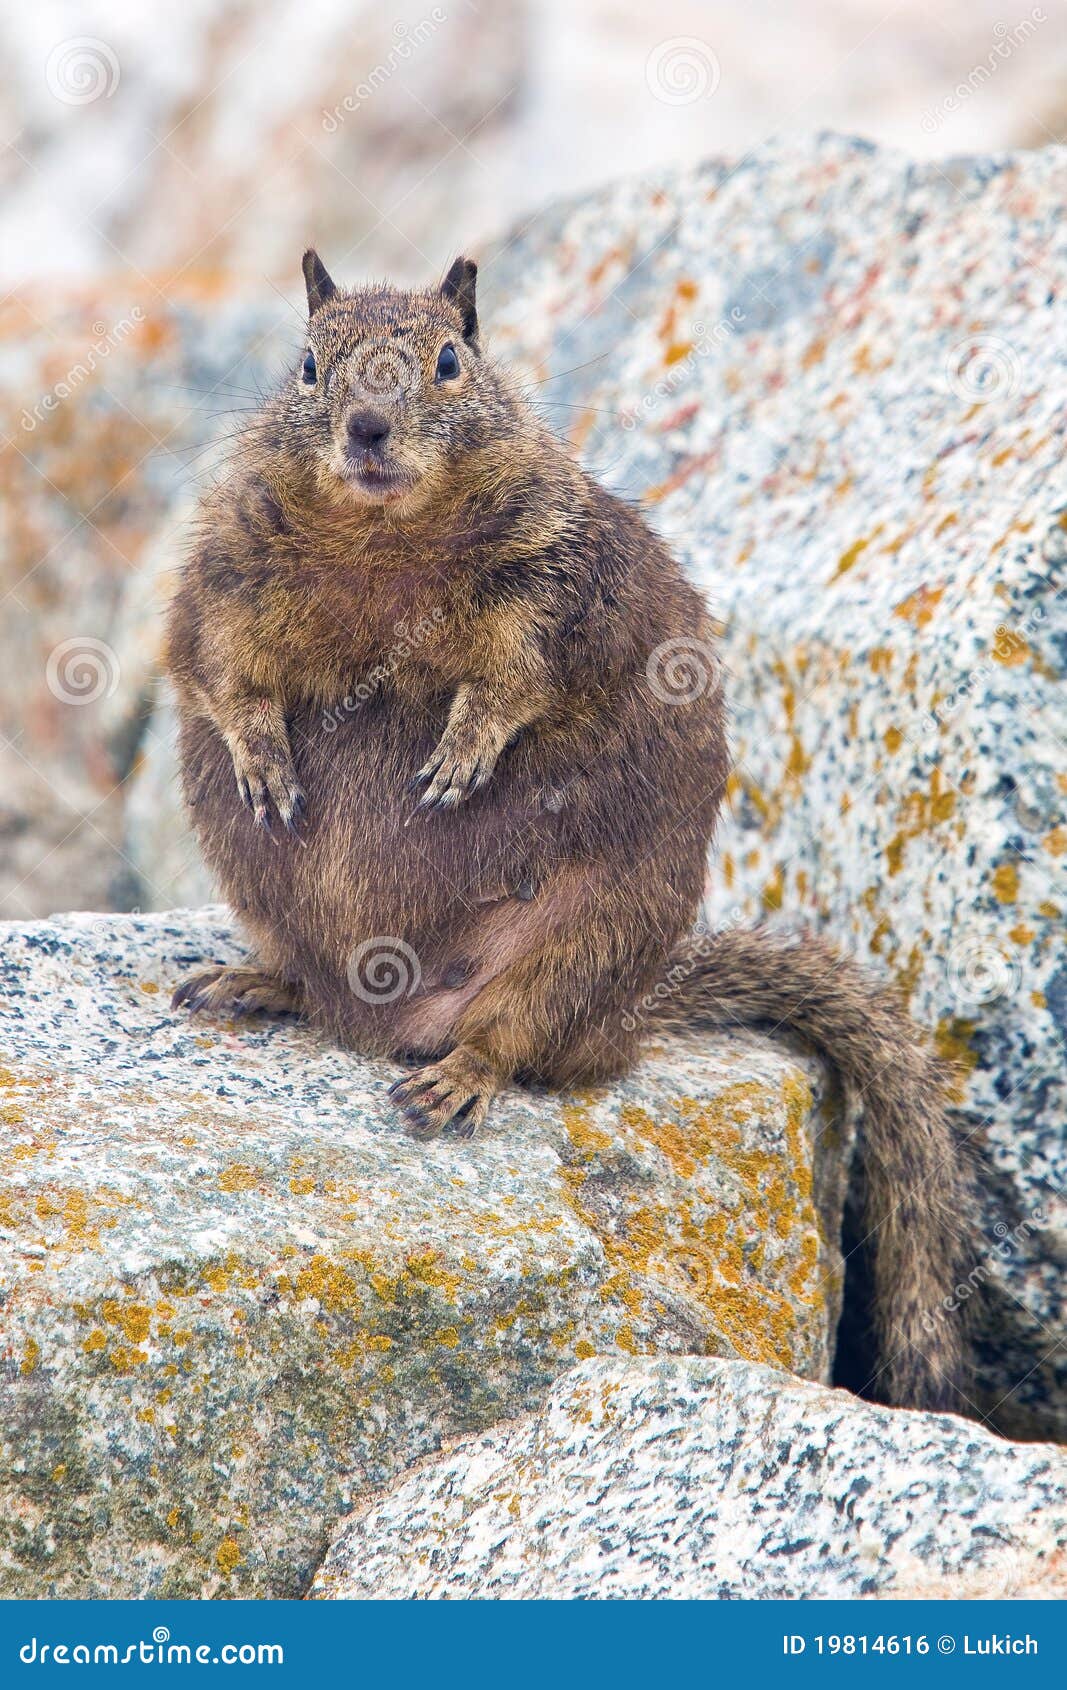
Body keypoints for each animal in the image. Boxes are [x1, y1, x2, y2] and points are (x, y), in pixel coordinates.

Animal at [165, 249, 973, 1415]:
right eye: (308, 364)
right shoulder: (228, 566)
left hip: (583, 941)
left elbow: (514, 682)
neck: (381, 539)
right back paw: (256, 981)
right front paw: (263, 755)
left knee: (517, 1040)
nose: (366, 427)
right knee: (306, 976)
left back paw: (458, 1074)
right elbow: (220, 665)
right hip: (263, 891)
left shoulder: (552, 588)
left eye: (449, 361)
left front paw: (462, 753)